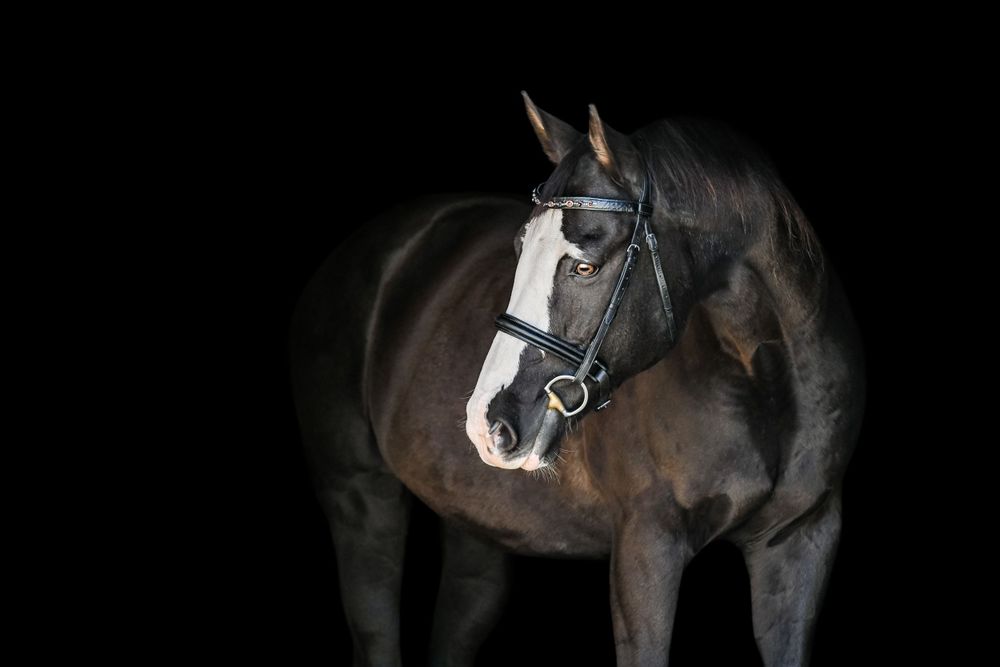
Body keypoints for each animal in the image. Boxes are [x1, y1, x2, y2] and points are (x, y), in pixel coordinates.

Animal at [289, 93, 865, 666]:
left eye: (585, 267)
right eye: (520, 250)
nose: (487, 423)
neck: (765, 383)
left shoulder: (800, 542)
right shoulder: (646, 546)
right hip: (360, 499)